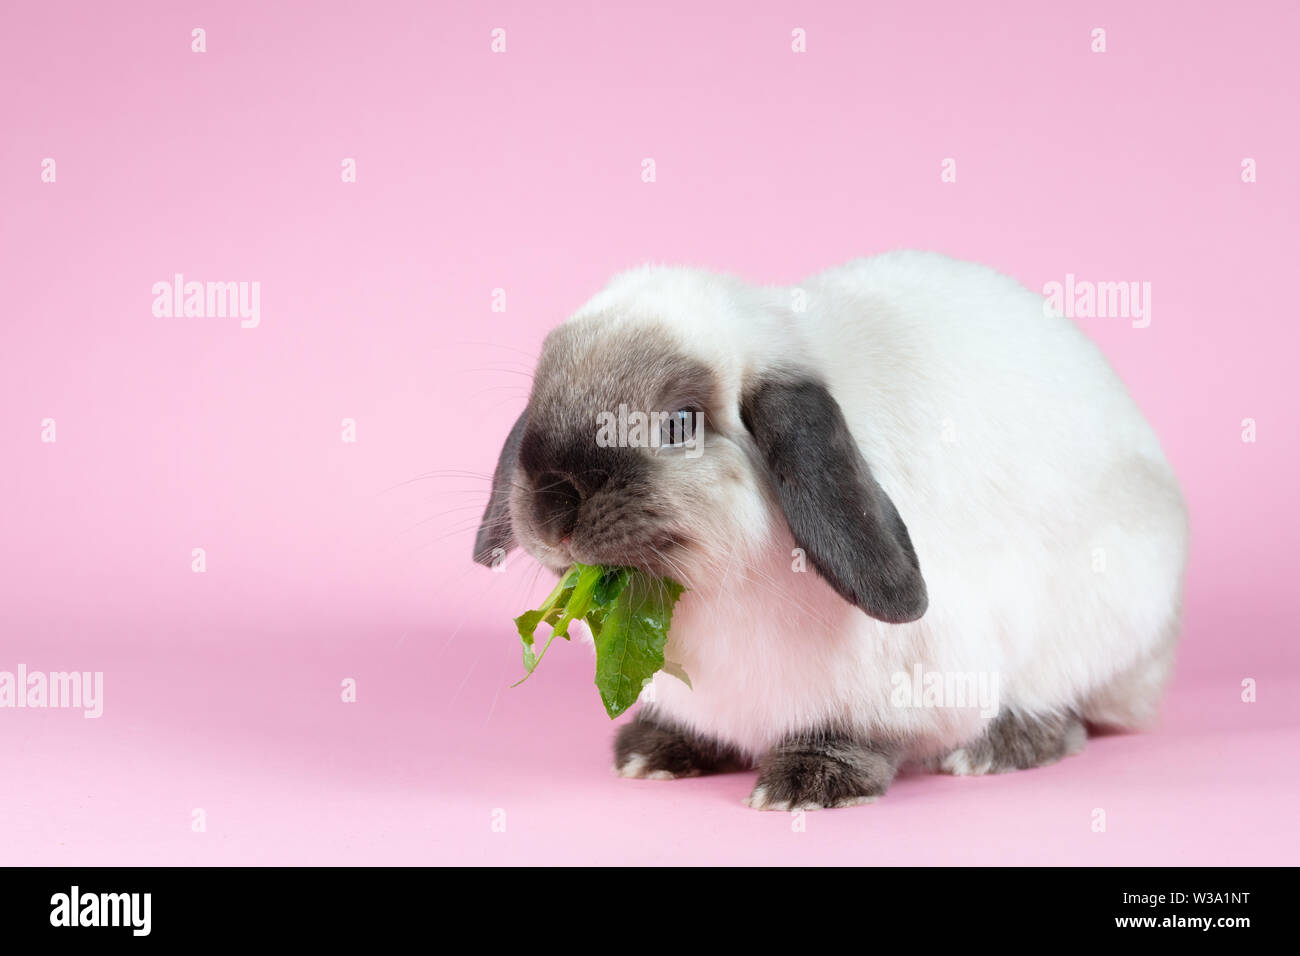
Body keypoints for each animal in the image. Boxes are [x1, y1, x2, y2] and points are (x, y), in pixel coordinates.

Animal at [473, 250, 1189, 810]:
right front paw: (654, 753)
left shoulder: (911, 676)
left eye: (680, 423)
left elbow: (861, 735)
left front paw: (806, 785)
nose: (553, 502)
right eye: (538, 401)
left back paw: (992, 750)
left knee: (1066, 717)